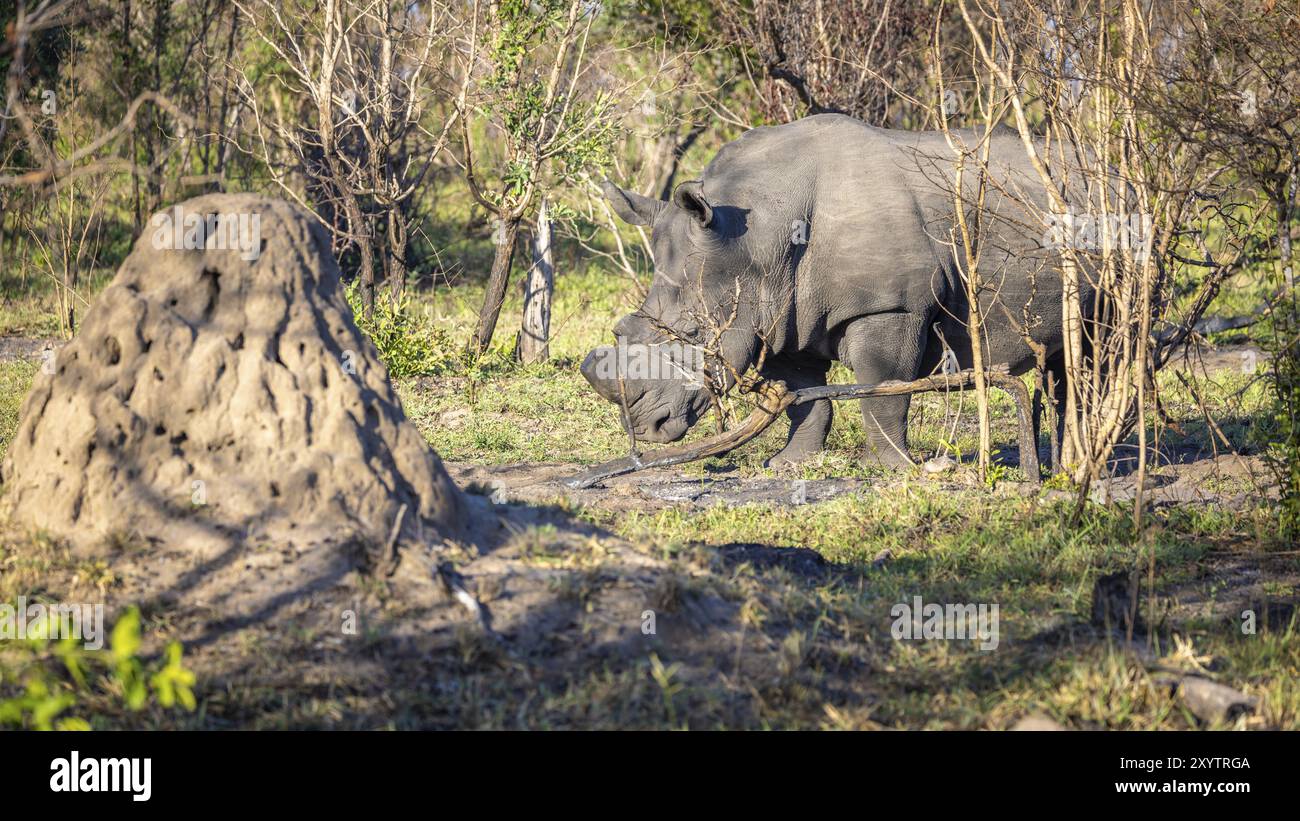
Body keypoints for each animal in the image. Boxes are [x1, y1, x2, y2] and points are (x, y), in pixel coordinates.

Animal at [581, 114, 1095, 468]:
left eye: (691, 333)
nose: (643, 429)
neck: (758, 237)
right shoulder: (779, 312)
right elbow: (805, 396)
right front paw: (789, 464)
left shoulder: (891, 306)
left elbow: (884, 392)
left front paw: (895, 470)